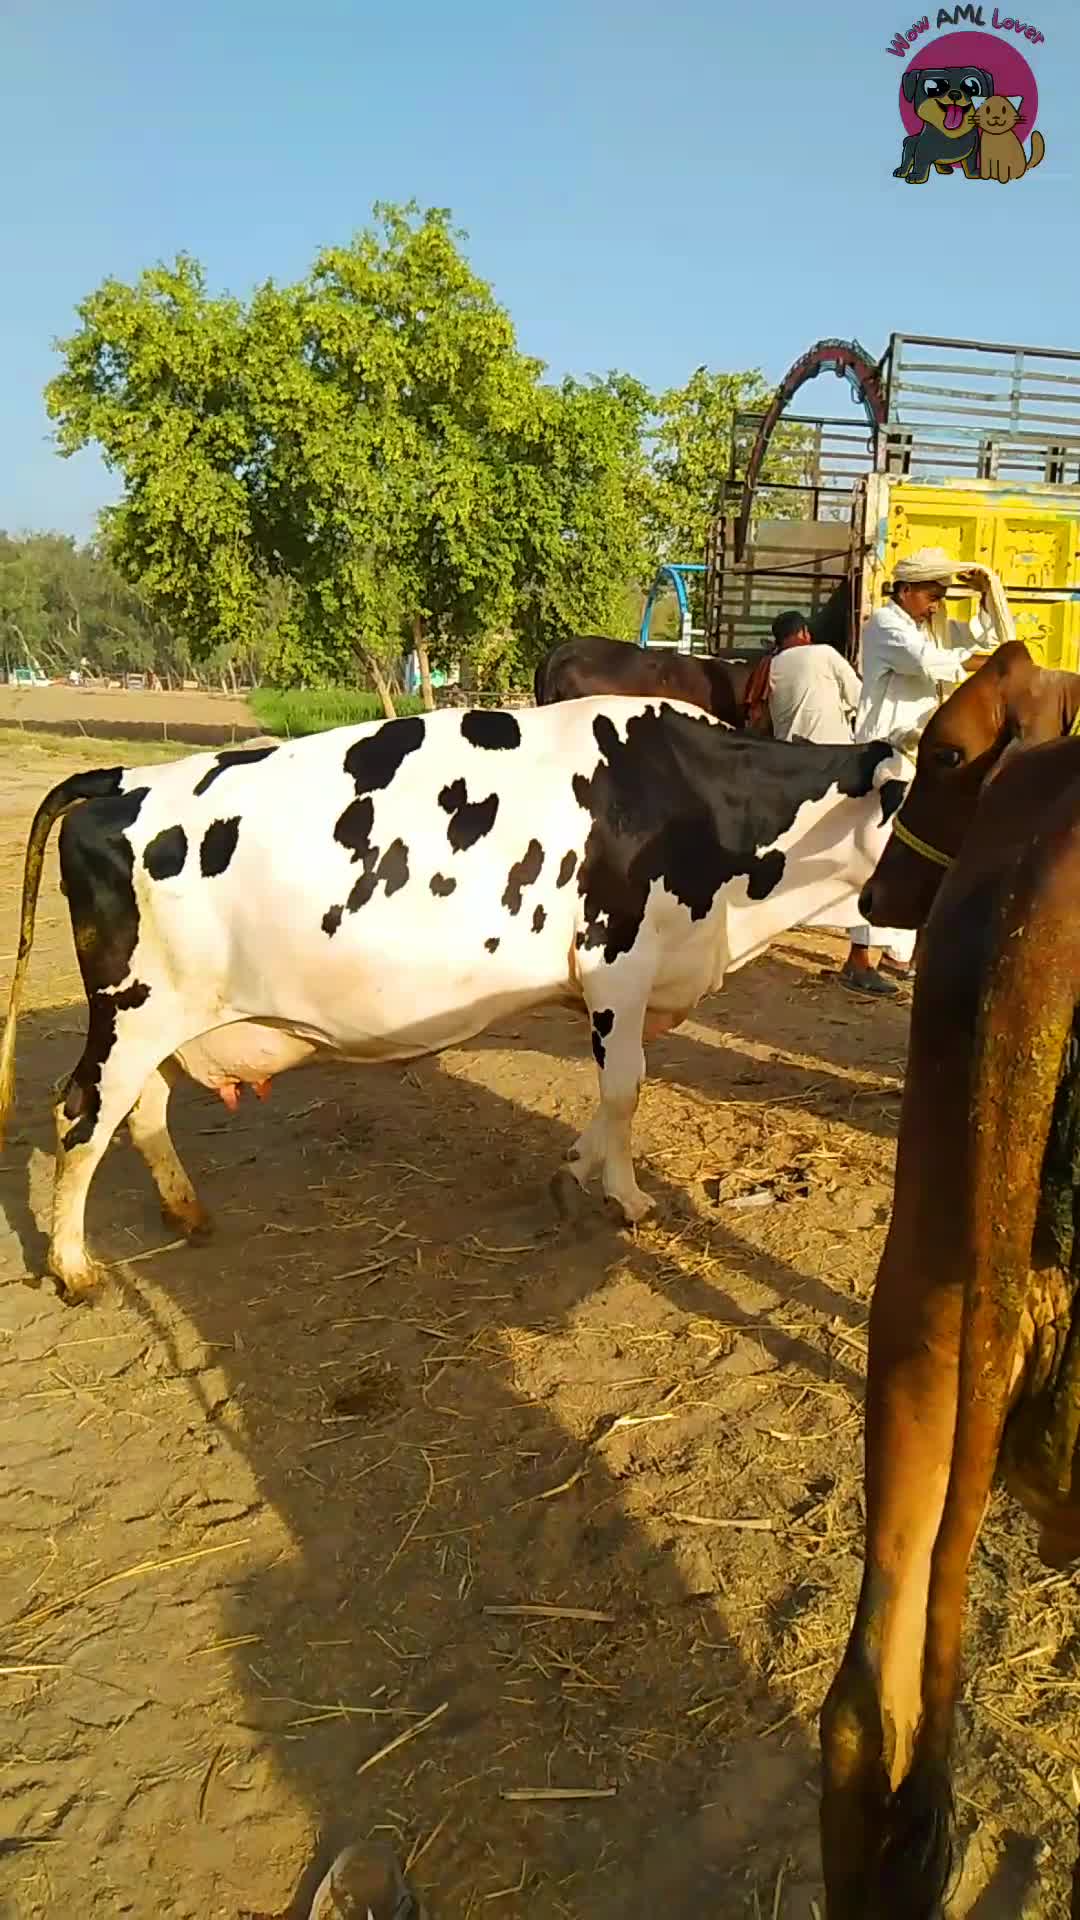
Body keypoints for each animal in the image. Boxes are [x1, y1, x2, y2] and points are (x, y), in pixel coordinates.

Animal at [0, 698, 905, 1303]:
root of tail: (124, 777)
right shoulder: (616, 965)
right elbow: (625, 1090)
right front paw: (625, 1196)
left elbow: (610, 1103)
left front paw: (576, 1169)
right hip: (133, 1009)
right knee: (79, 1116)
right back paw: (74, 1267)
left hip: (158, 1020)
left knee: (140, 1111)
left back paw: (185, 1211)